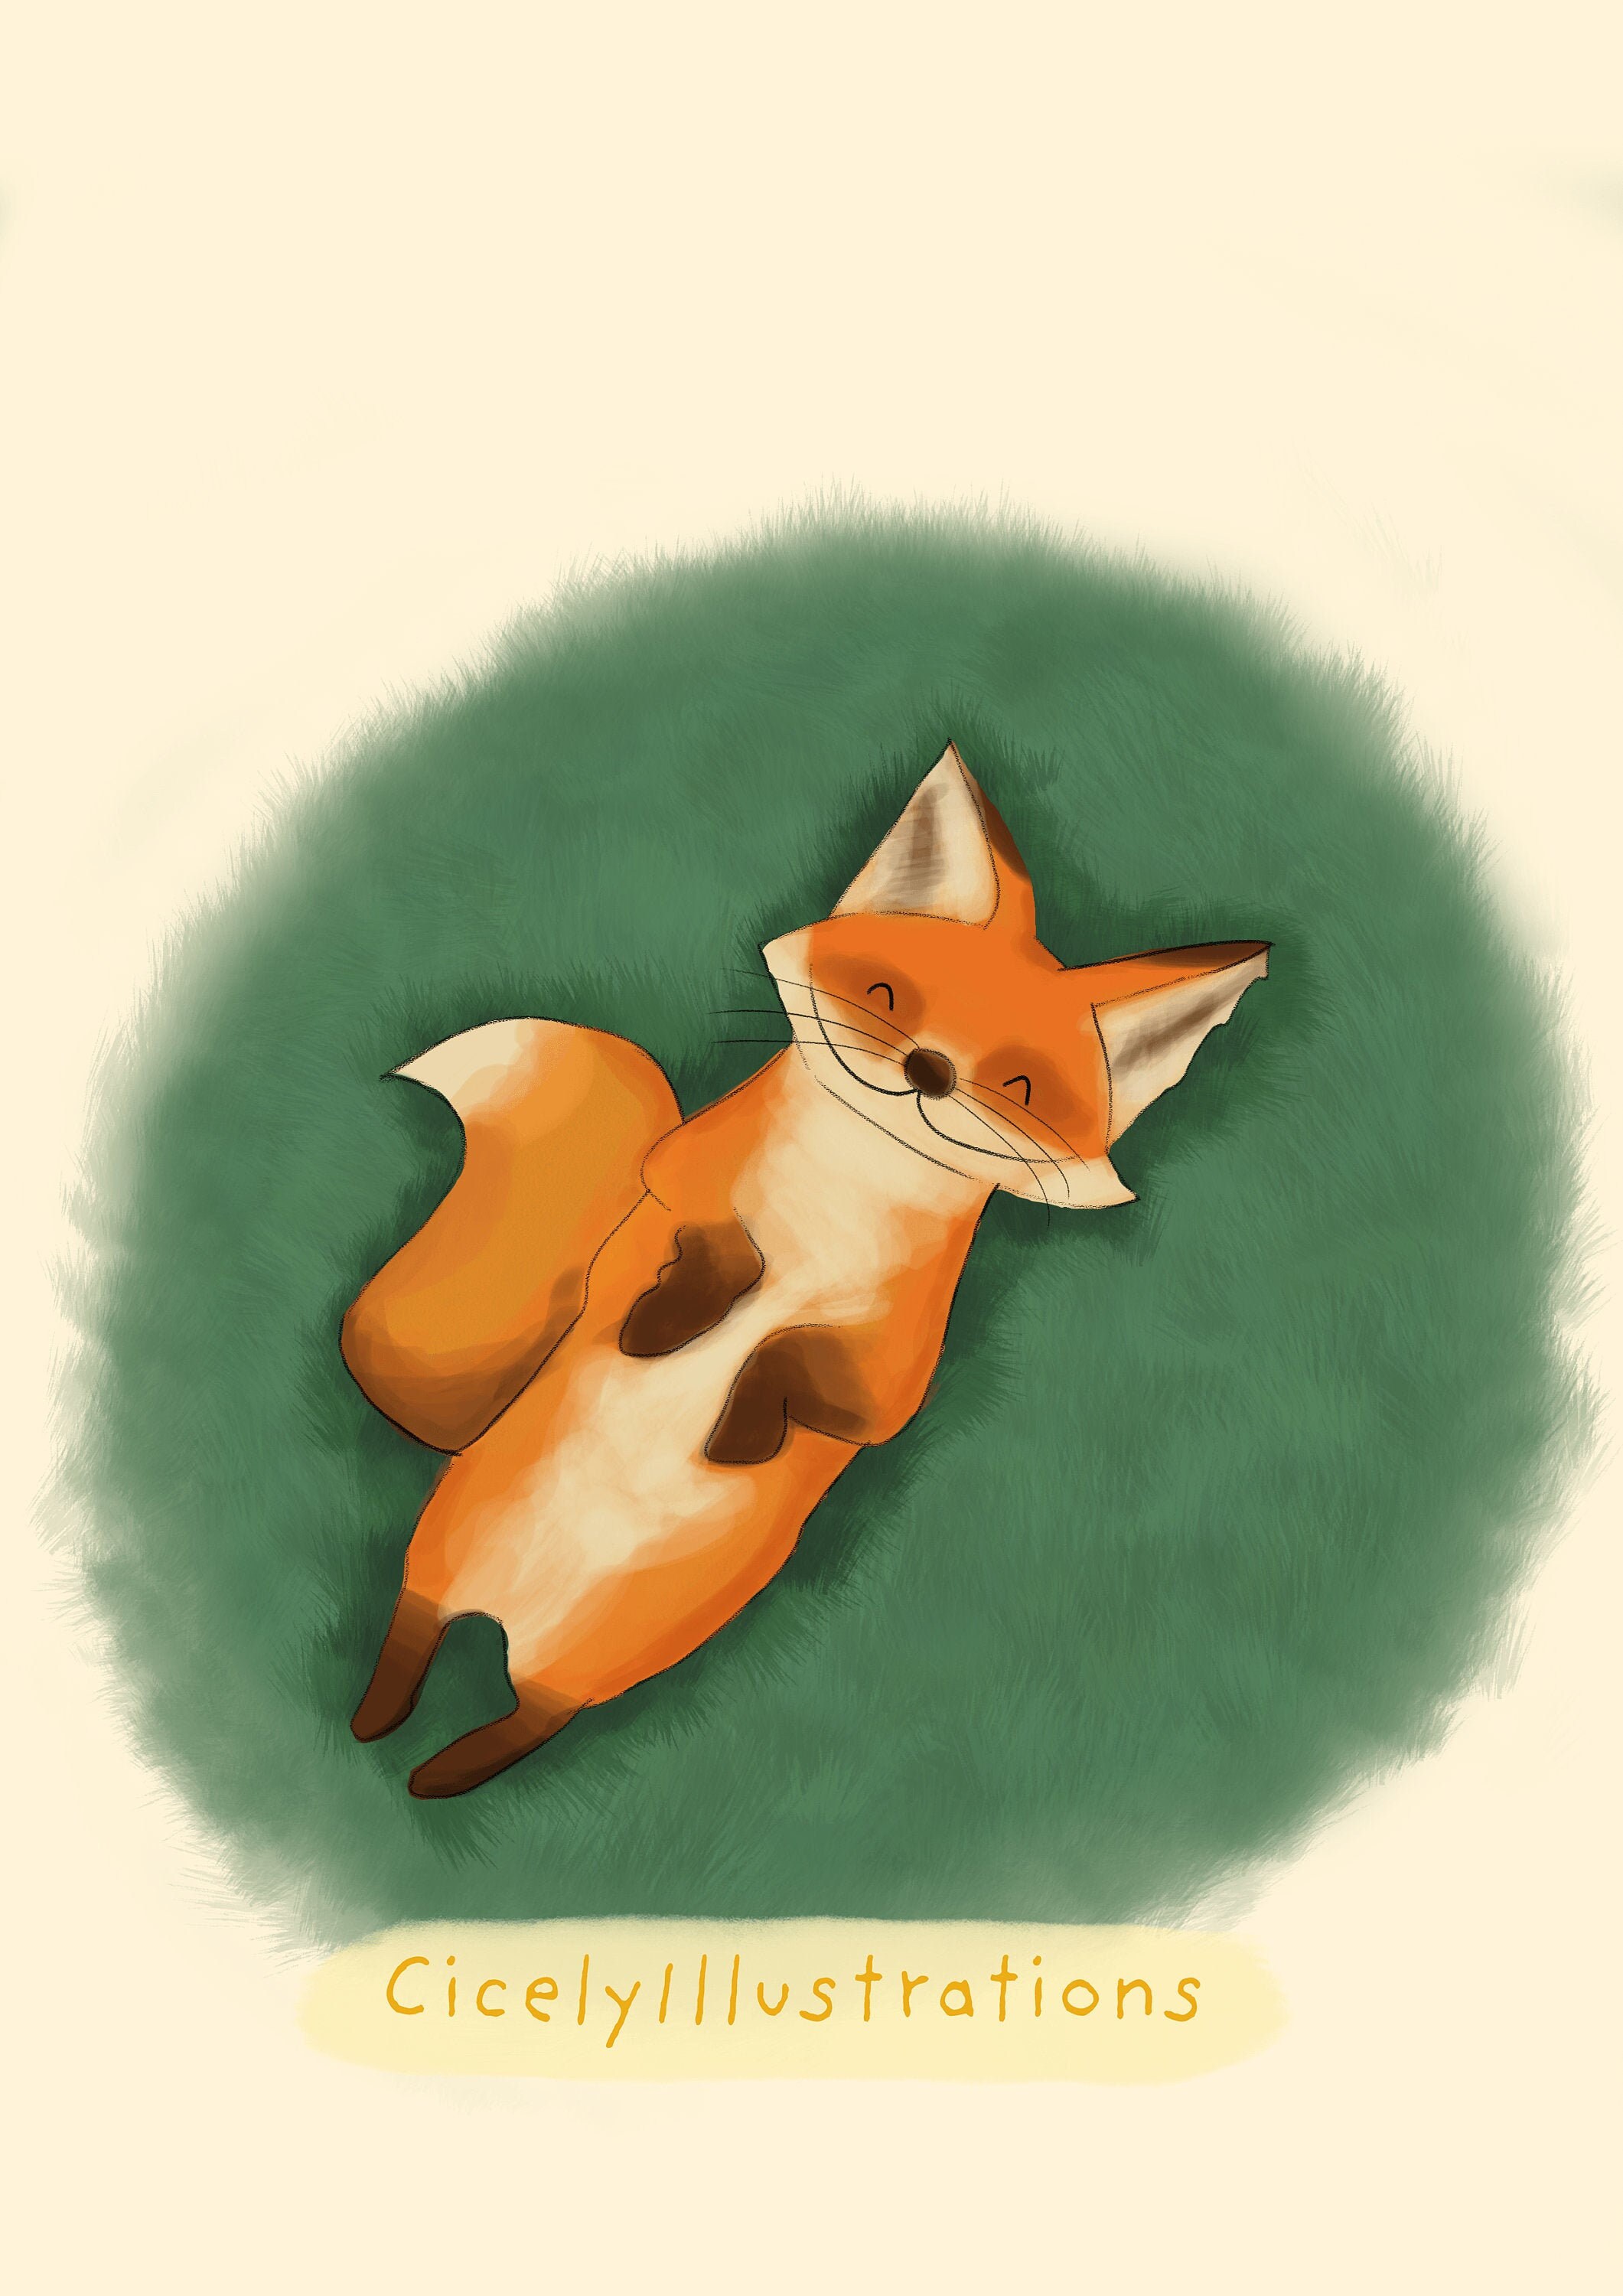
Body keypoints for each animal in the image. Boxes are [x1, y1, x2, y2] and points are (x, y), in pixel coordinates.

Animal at [342, 743, 1269, 1797]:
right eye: (887, 999)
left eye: (1021, 1086)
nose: (929, 1070)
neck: (838, 1195)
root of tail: (499, 1622)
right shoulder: (665, 1200)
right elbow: (709, 1255)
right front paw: (673, 1324)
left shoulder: (891, 1364)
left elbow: (806, 1364)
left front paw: (745, 1425)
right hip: (443, 1560)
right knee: (411, 1635)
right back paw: (380, 1727)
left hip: (586, 1667)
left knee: (523, 1723)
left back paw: (433, 1772)